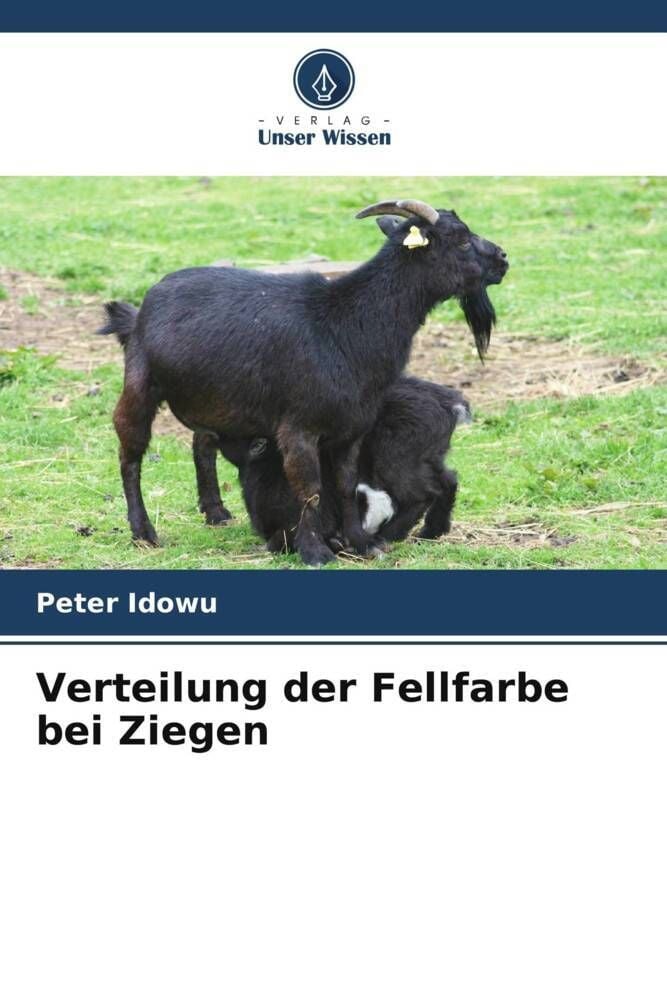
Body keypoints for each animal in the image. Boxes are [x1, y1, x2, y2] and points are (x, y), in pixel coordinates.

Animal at [197, 376, 472, 553]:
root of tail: (450, 403)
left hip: (396, 459)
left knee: (423, 494)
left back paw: (390, 535)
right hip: (426, 457)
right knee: (448, 480)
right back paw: (430, 531)